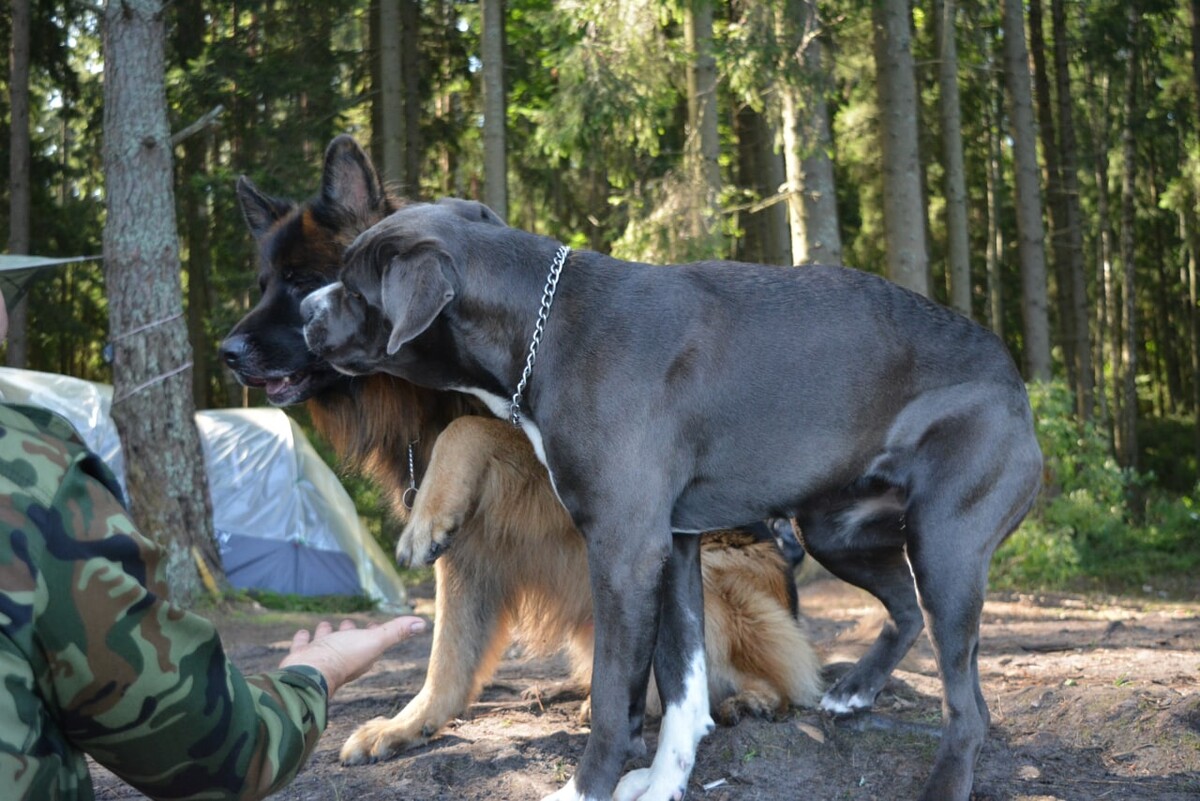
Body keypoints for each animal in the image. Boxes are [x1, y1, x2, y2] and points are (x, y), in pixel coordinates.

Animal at [300, 195, 1041, 801]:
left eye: (354, 287)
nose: (306, 310)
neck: (546, 324)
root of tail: (1013, 380)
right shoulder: (678, 548)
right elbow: (682, 688)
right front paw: (662, 782)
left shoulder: (625, 552)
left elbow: (613, 697)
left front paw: (586, 790)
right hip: (838, 531)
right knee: (904, 610)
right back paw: (856, 690)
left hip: (944, 550)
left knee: (968, 707)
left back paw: (940, 778)